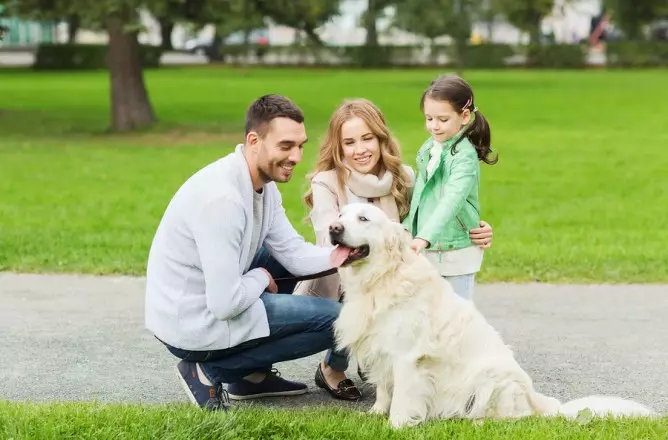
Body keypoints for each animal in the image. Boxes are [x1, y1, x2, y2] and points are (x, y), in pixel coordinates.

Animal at [328, 204, 656, 430]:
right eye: (341, 214)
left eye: (363, 219)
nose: (333, 228)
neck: (381, 278)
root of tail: (546, 403)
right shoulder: (381, 347)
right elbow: (385, 389)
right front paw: (375, 414)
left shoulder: (407, 356)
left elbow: (402, 396)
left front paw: (396, 425)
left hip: (492, 378)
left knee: (515, 418)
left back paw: (479, 422)